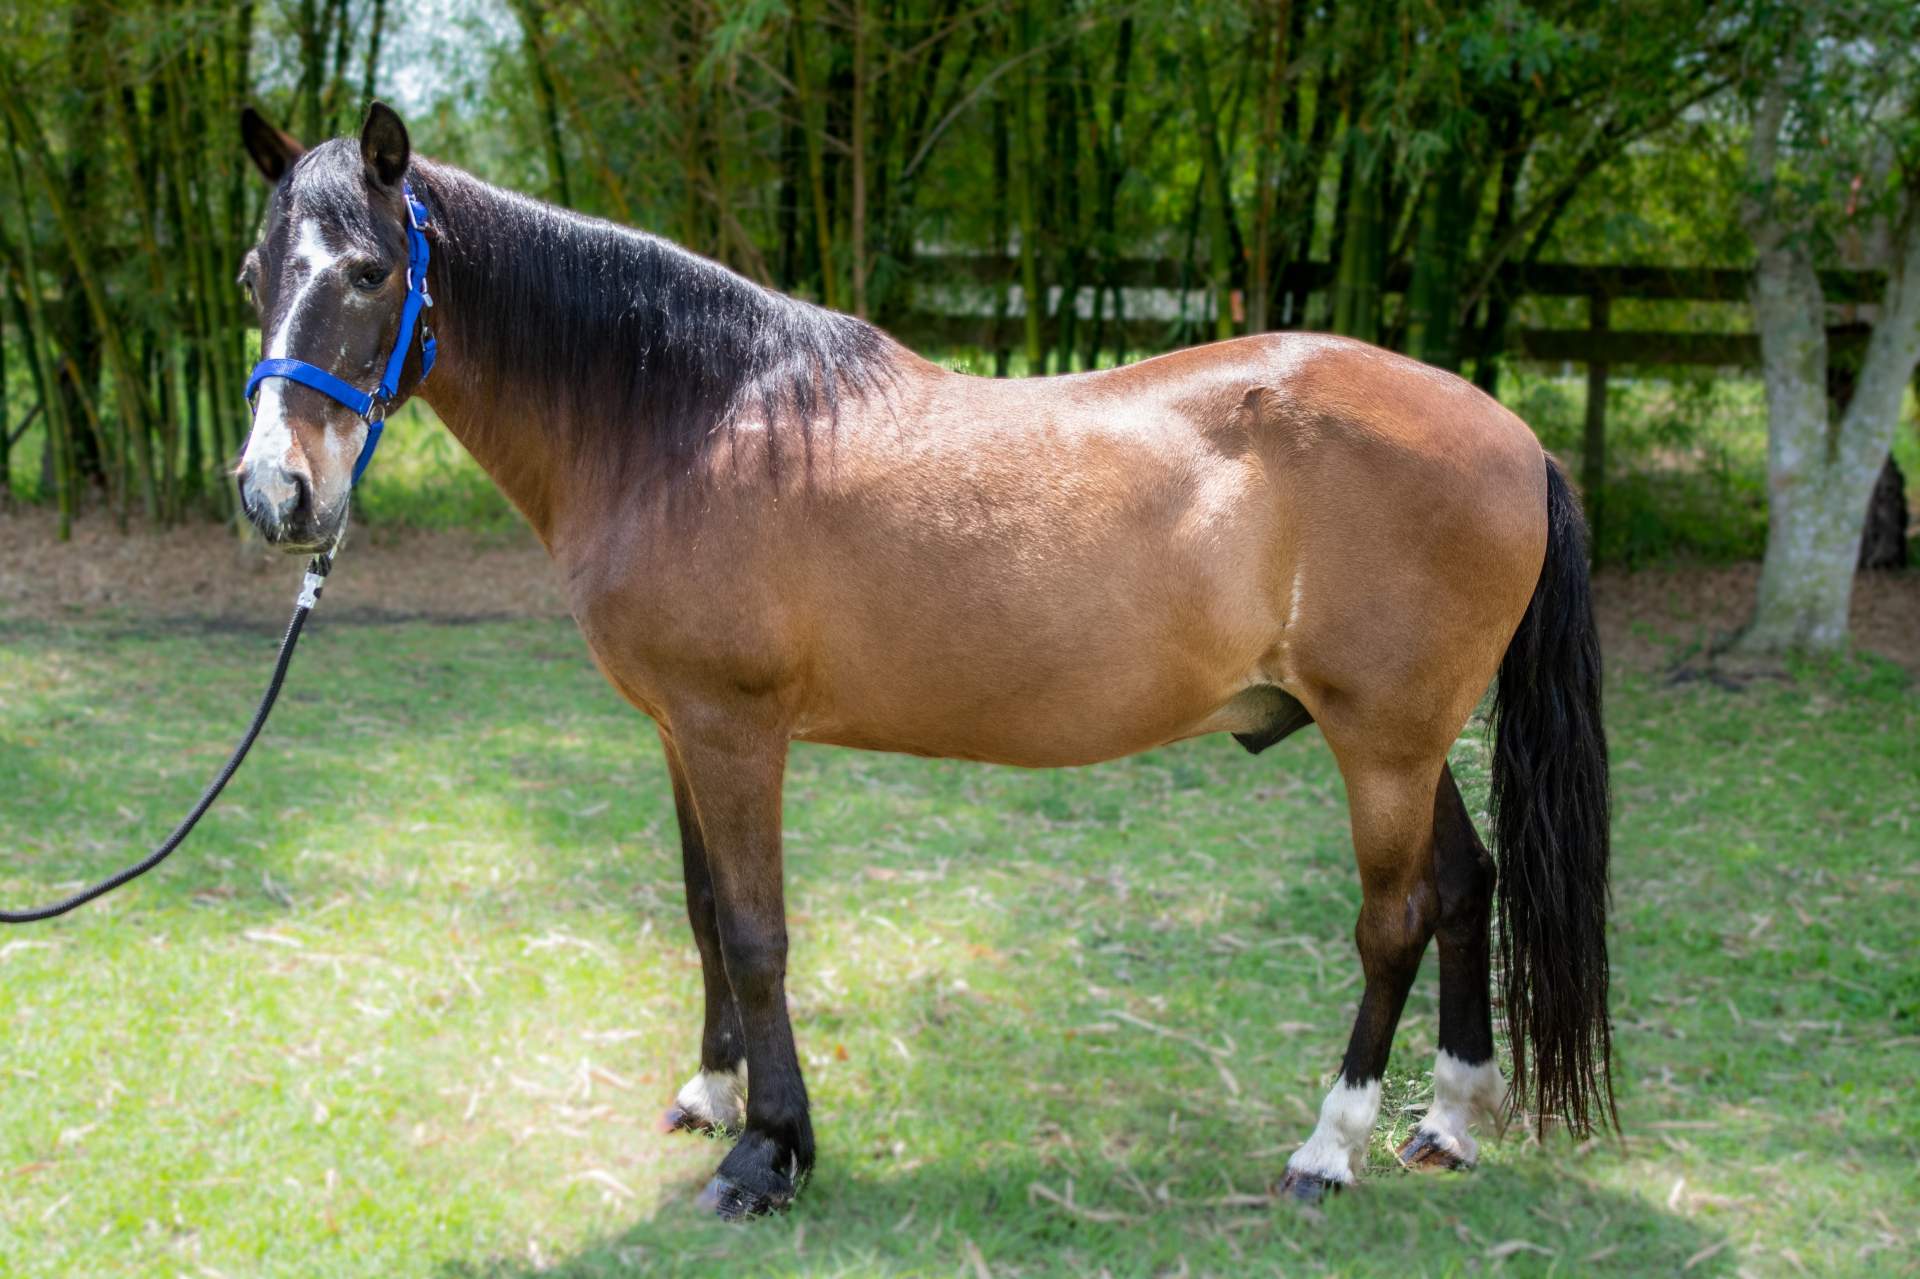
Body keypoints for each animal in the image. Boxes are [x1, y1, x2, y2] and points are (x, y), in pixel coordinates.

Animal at [233, 102, 1614, 1219]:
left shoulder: (736, 731)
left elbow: (756, 931)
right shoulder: (678, 730)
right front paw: (713, 1095)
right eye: (254, 273)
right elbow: (700, 912)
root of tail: (1512, 433)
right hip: (1404, 738)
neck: (684, 418)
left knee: (1395, 917)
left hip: (1382, 741)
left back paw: (1328, 1148)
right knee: (1467, 883)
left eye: (368, 270)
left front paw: (769, 1154)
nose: (273, 493)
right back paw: (1449, 1122)